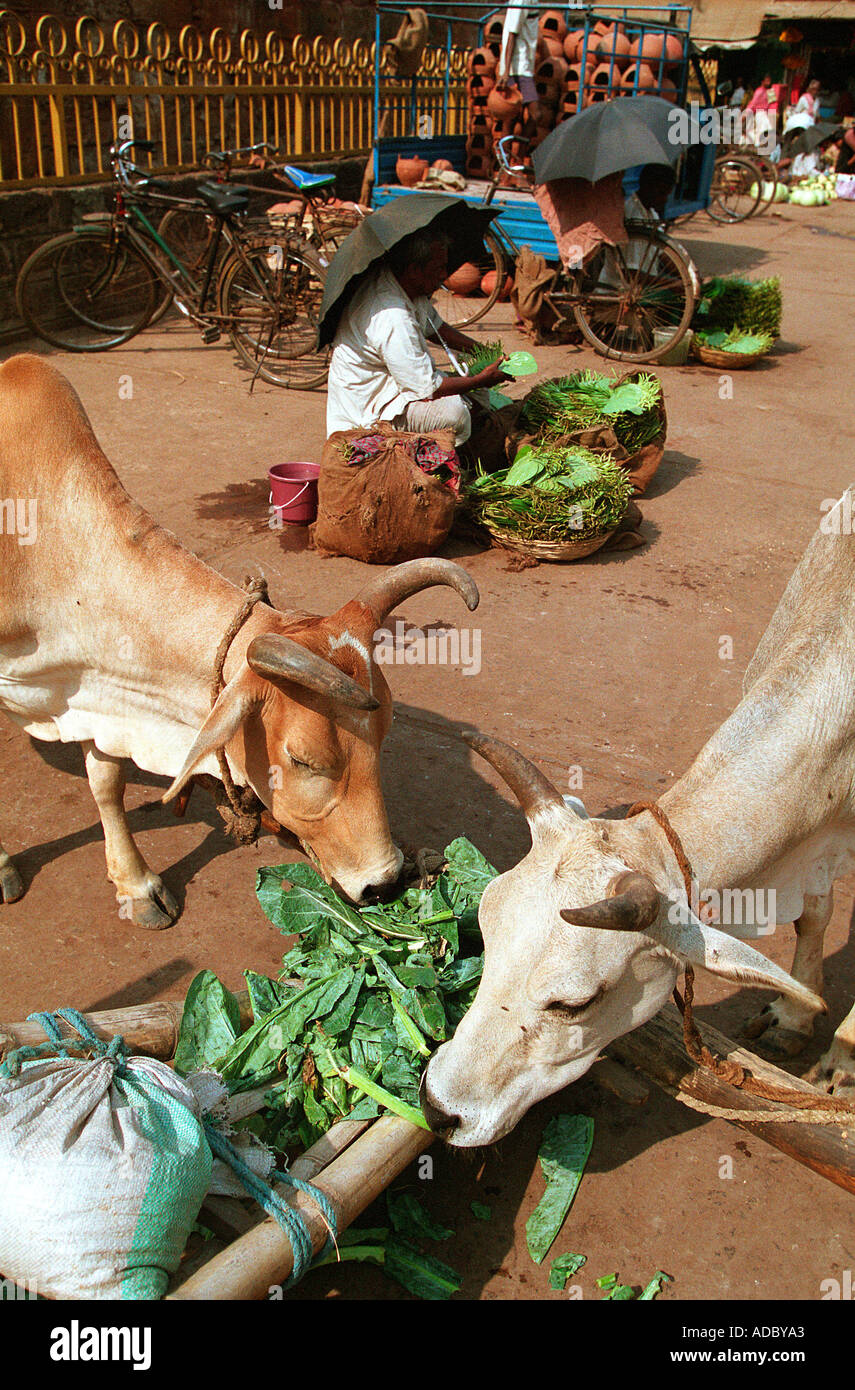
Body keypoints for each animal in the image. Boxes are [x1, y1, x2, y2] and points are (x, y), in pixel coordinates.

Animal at [0, 354, 478, 926]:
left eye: (383, 738)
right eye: (303, 760)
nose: (383, 882)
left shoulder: (105, 690)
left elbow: (106, 780)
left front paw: (135, 885)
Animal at [422, 490, 855, 1146]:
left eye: (573, 1005)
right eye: (485, 933)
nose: (438, 1106)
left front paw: (840, 1059)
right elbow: (816, 913)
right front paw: (795, 1015)